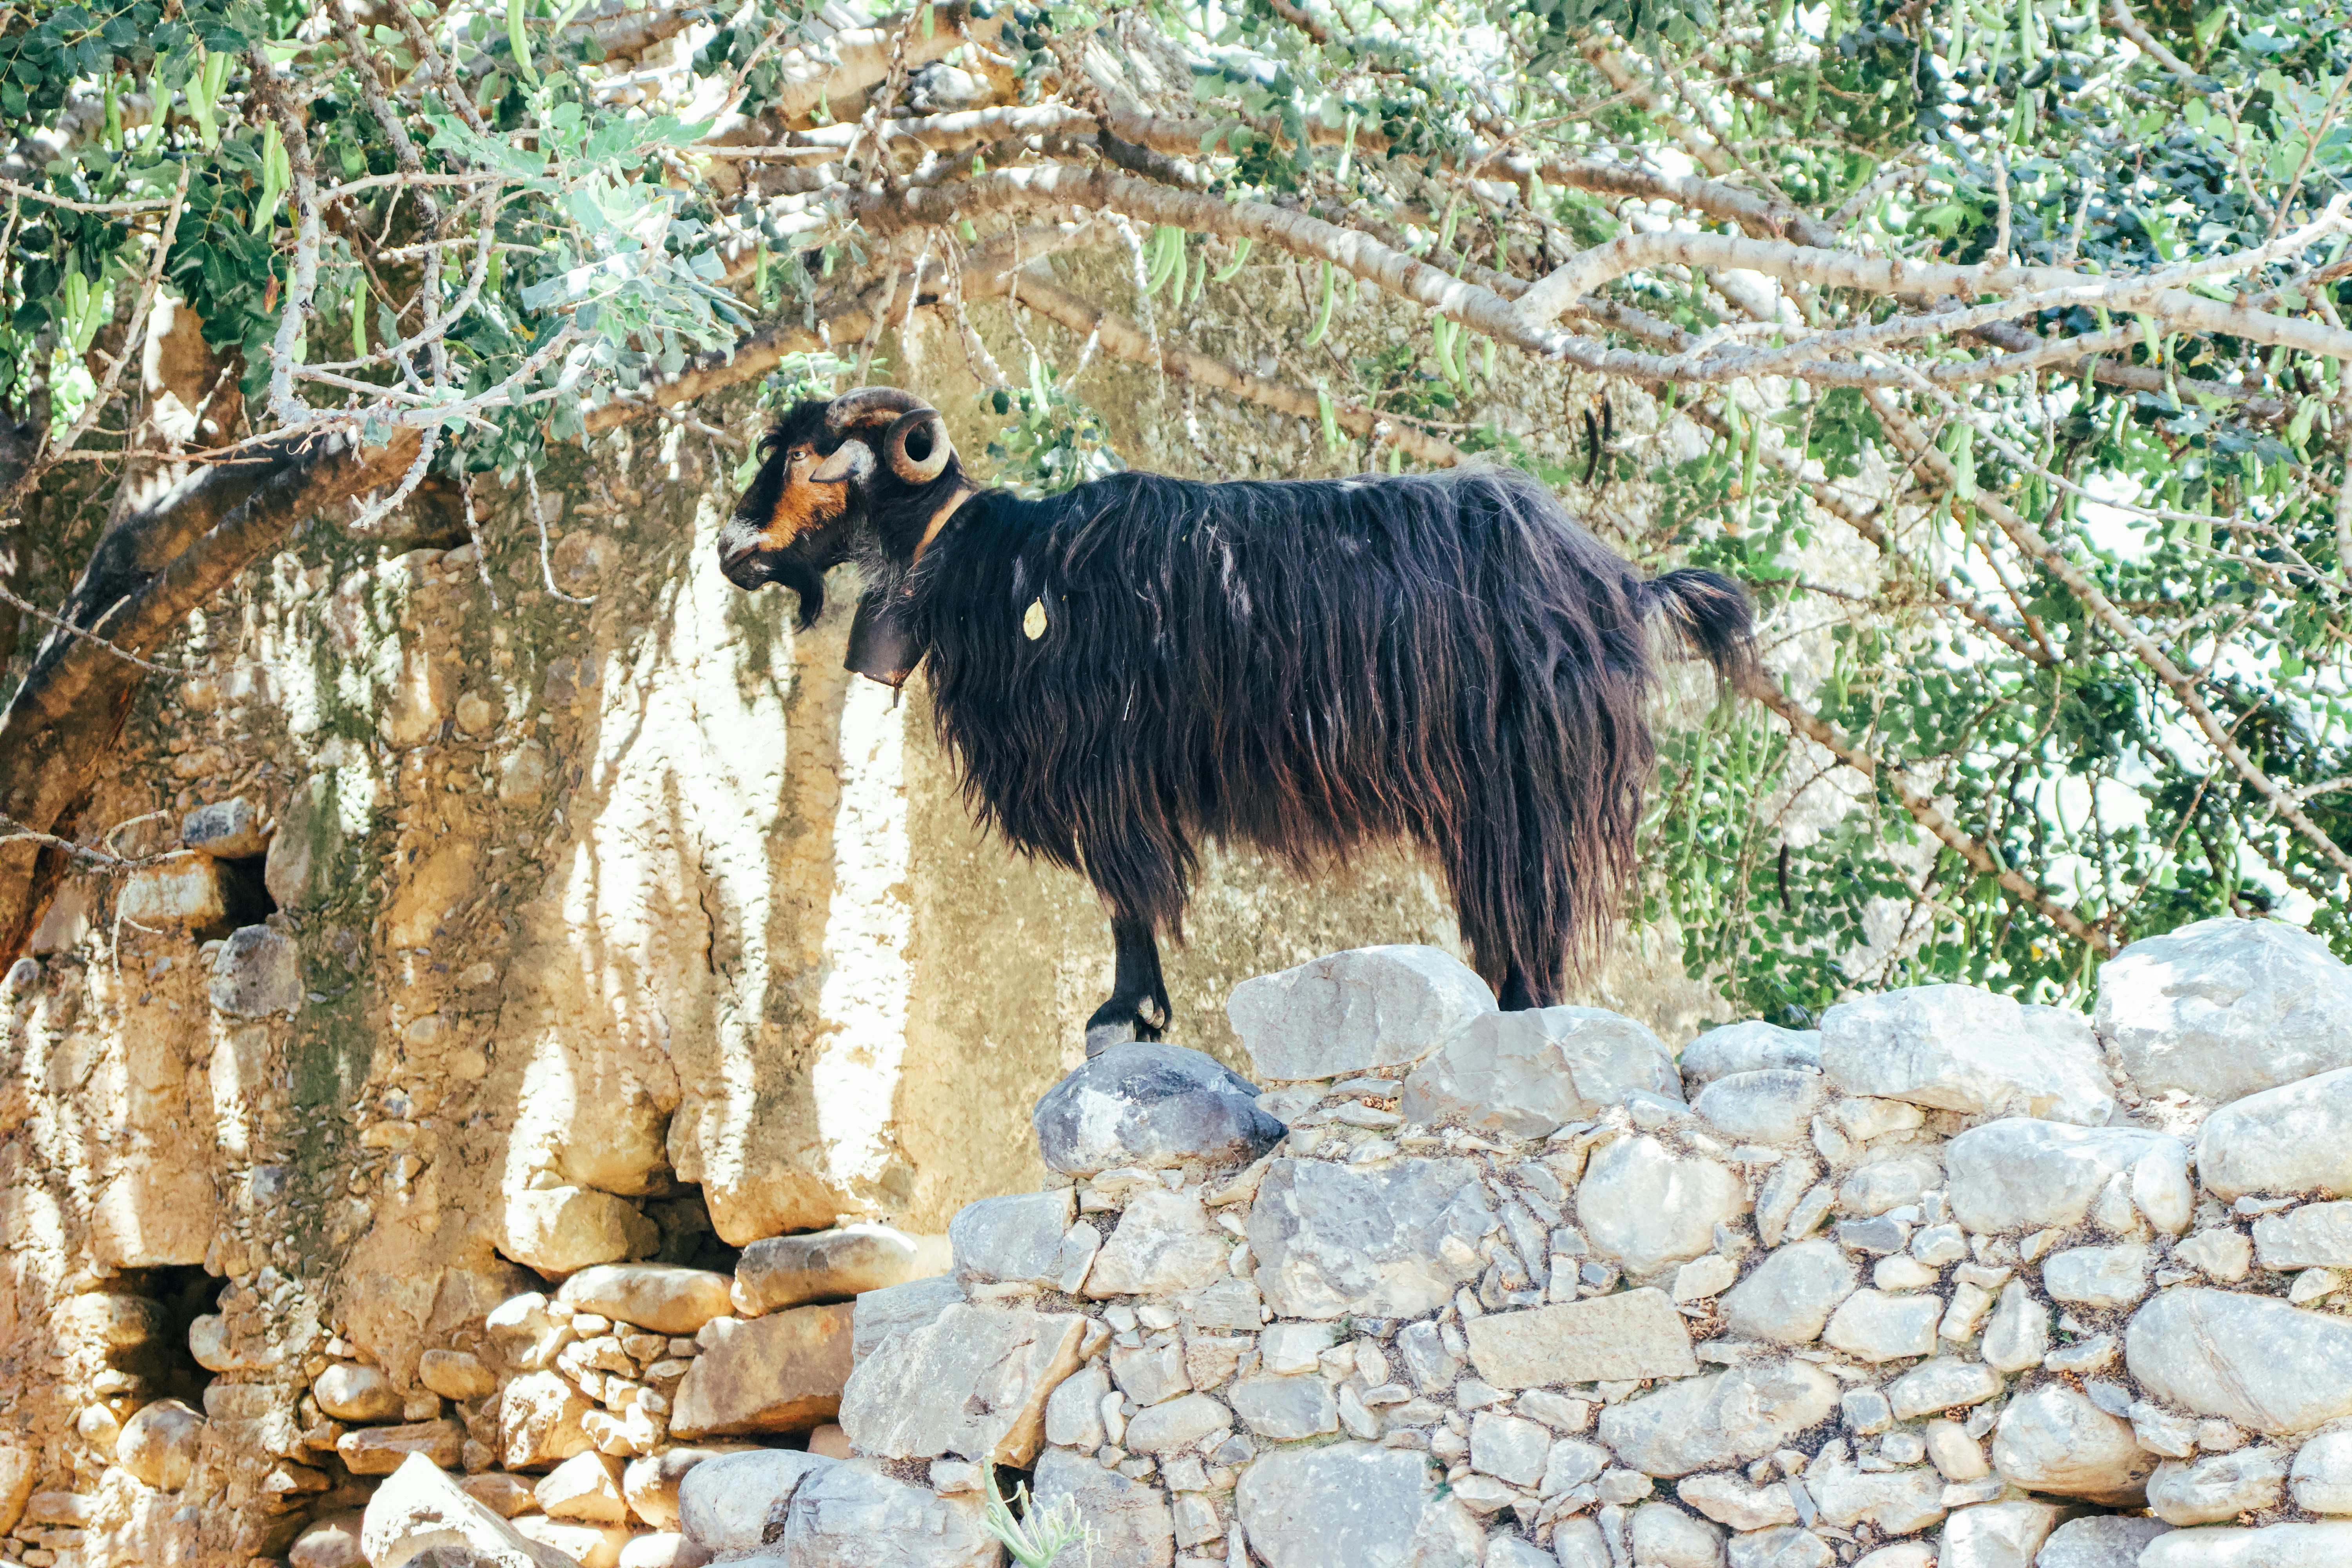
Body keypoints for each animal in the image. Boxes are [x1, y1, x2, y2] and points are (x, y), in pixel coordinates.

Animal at [717, 387, 1754, 1053]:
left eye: (812, 460)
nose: (732, 548)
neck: (997, 563)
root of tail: (1624, 581)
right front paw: (1137, 1013)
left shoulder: (1107, 774)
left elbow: (1127, 897)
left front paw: (1125, 1015)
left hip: (1531, 783)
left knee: (1535, 910)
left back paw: (1522, 1015)